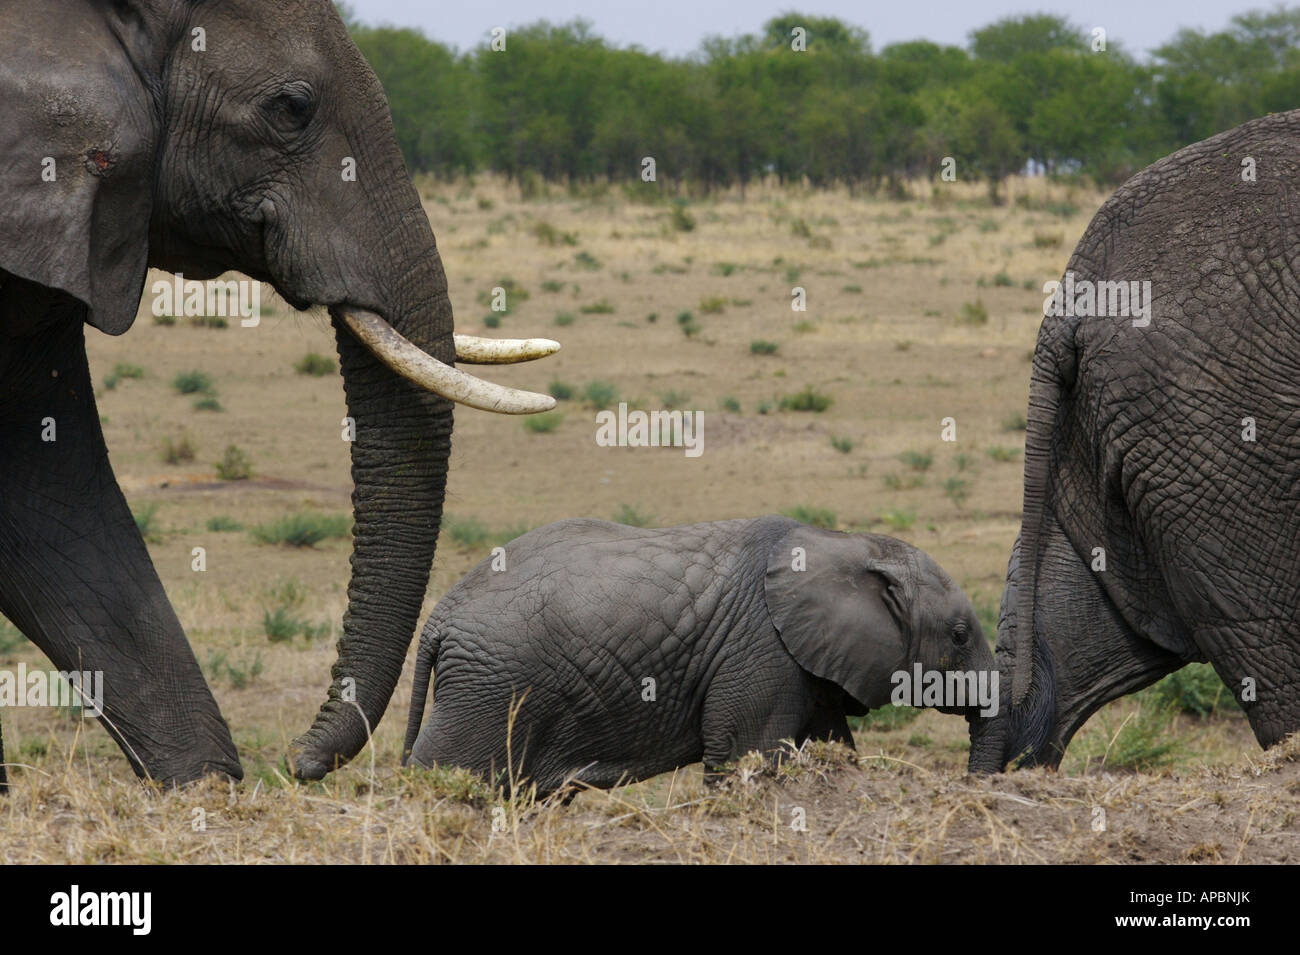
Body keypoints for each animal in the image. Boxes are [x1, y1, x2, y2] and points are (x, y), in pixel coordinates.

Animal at [403, 516, 995, 795]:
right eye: (960, 635)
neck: (844, 541)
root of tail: (439, 618)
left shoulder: (805, 659)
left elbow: (830, 744)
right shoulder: (761, 649)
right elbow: (748, 755)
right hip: (487, 687)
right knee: (445, 767)